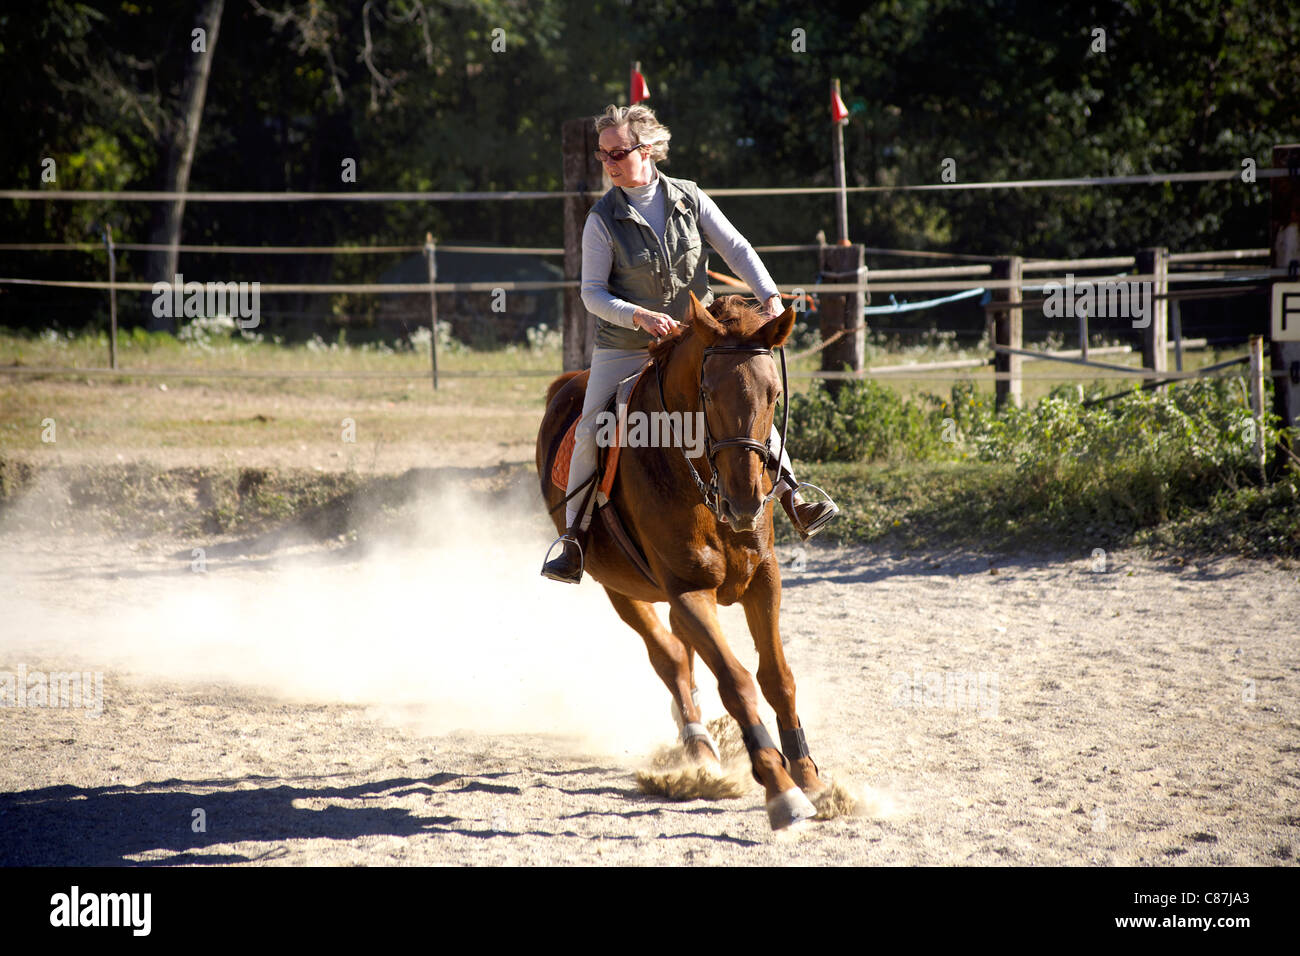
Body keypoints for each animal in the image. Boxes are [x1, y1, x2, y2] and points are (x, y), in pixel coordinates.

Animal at [535, 292, 828, 830]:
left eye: (774, 394)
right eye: (707, 393)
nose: (744, 501)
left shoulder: (764, 581)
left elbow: (777, 678)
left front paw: (809, 777)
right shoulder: (689, 592)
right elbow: (736, 681)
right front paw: (780, 789)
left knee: (684, 655)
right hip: (623, 589)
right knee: (670, 657)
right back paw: (698, 748)